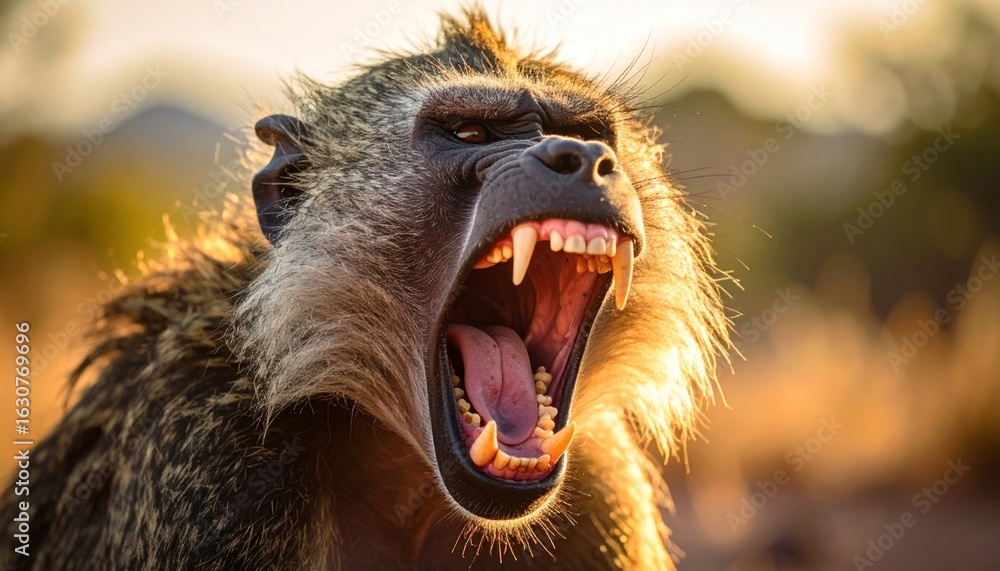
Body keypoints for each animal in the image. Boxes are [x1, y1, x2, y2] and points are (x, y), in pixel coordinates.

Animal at [0, 8, 729, 570]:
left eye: (582, 134)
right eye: (470, 132)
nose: (581, 162)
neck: (413, 484)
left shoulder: (602, 486)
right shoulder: (205, 465)